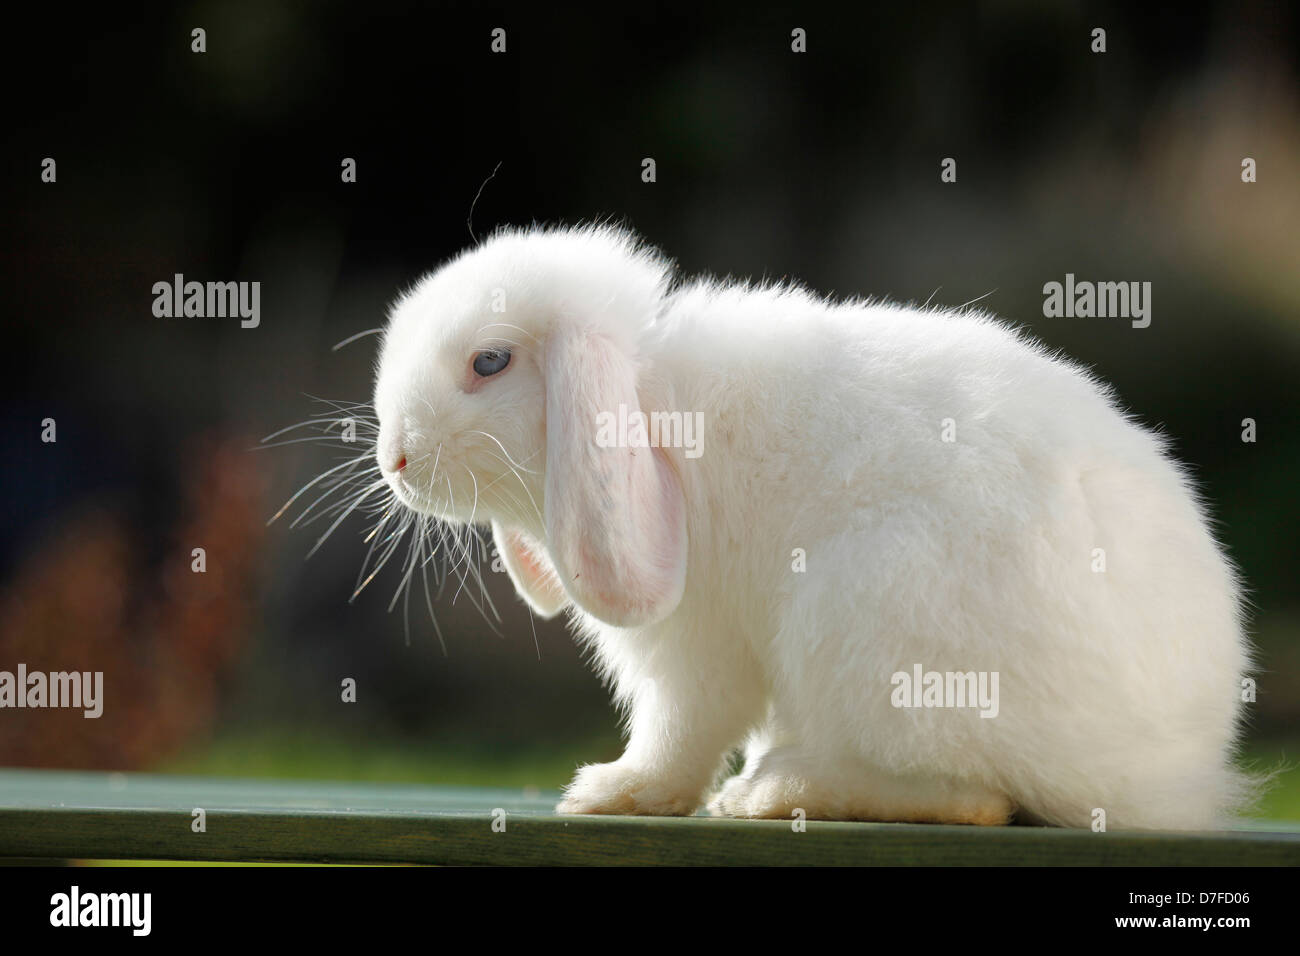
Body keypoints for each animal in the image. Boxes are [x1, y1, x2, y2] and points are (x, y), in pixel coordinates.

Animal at [370, 223, 1255, 829]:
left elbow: (680, 726)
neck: (648, 400)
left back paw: (774, 791)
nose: (396, 459)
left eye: (489, 363)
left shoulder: (692, 644)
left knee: (973, 797)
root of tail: (1166, 777)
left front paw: (613, 791)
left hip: (864, 617)